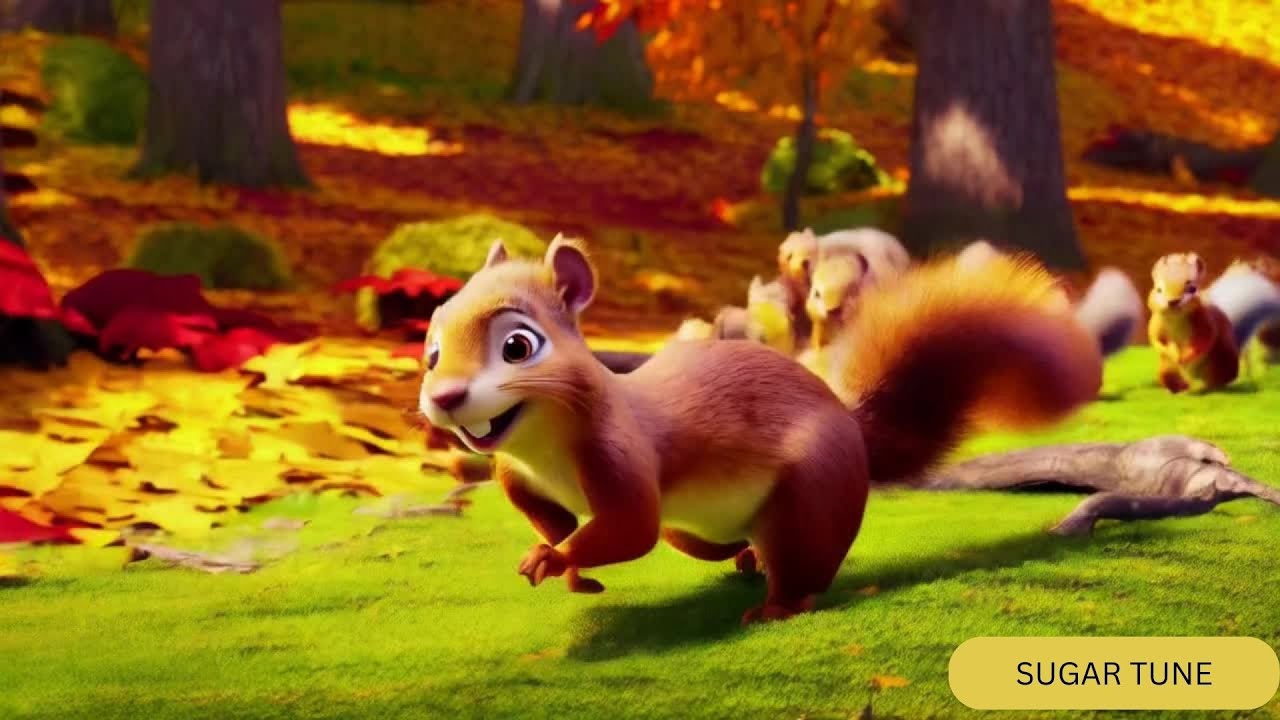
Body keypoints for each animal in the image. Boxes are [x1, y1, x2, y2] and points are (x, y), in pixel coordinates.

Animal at [418, 235, 1102, 624]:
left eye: (518, 345)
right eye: (431, 349)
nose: (446, 397)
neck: (539, 445)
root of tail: (851, 427)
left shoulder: (618, 456)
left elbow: (628, 529)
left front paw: (557, 559)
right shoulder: (519, 477)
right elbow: (556, 518)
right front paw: (563, 560)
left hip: (810, 496)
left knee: (803, 565)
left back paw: (776, 605)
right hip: (698, 526)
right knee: (708, 542)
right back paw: (742, 559)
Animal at [1147, 253, 1241, 393]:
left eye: (1192, 289)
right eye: (1158, 289)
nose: (1173, 301)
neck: (1176, 317)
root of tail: (1192, 379)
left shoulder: (1203, 323)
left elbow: (1202, 341)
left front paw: (1186, 357)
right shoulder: (1156, 326)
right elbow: (1157, 341)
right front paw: (1173, 354)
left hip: (1220, 364)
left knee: (1216, 383)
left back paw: (1206, 388)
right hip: (1166, 371)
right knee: (1176, 382)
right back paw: (1179, 390)